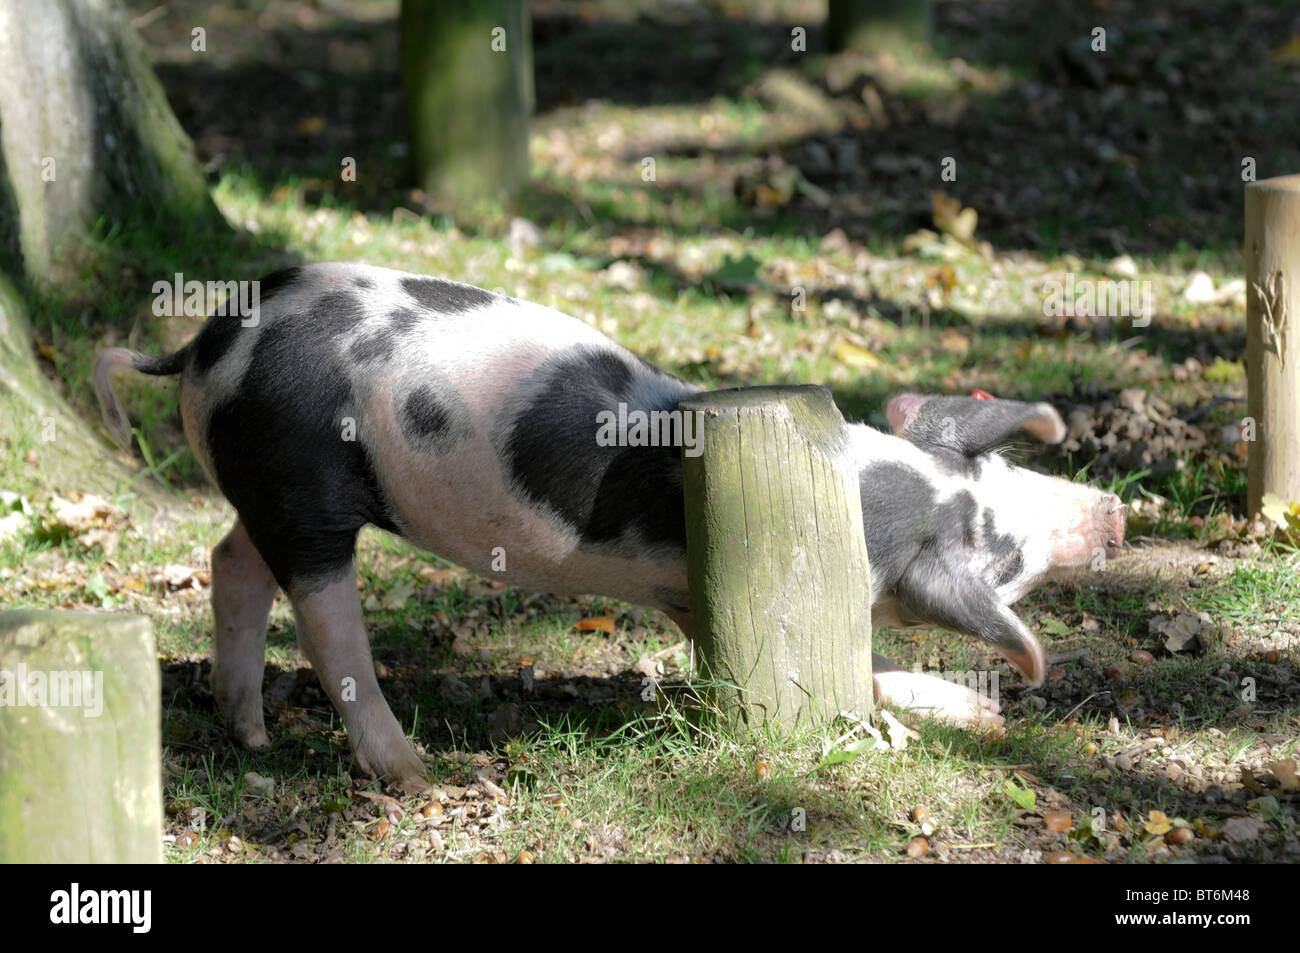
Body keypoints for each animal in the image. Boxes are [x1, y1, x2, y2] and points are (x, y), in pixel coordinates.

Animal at [94, 262, 1125, 791]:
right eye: (1006, 559)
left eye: (1004, 468)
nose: (1112, 512)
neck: (854, 489)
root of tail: (205, 343)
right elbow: (846, 670)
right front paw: (971, 716)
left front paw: (983, 714)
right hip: (306, 488)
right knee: (322, 617)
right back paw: (422, 775)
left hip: (267, 490)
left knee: (232, 558)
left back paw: (251, 735)